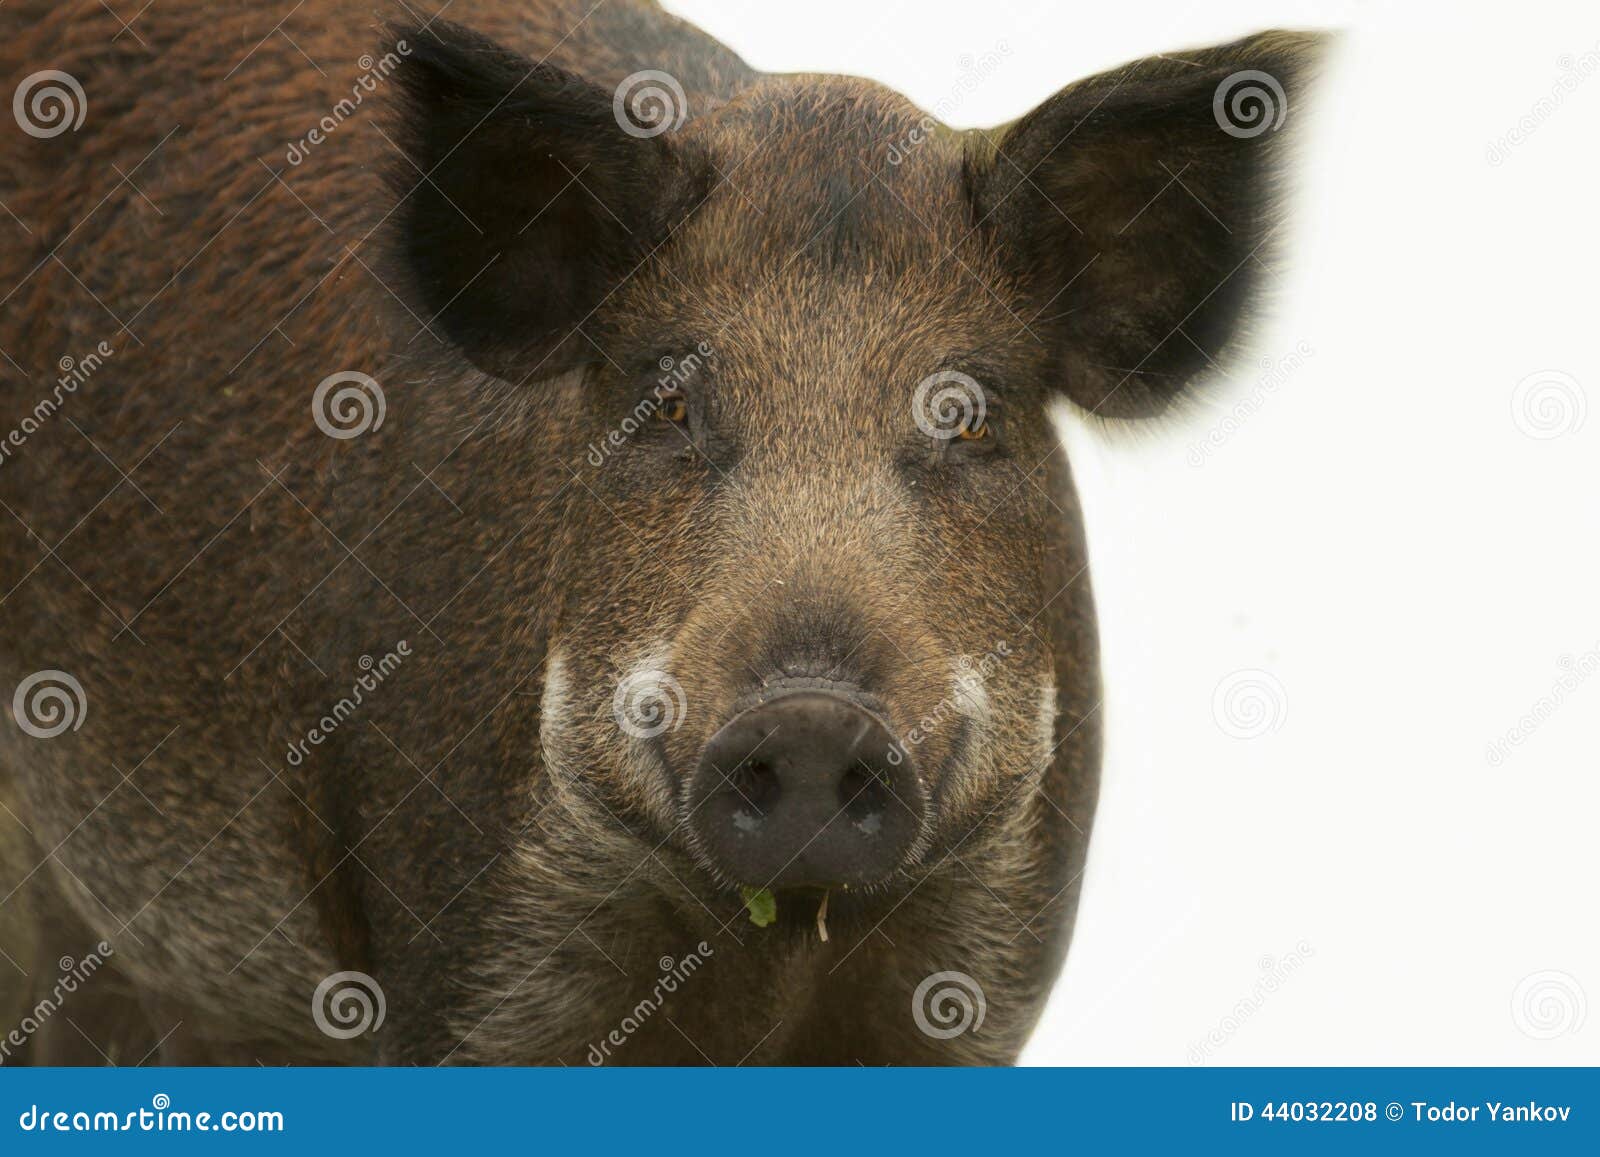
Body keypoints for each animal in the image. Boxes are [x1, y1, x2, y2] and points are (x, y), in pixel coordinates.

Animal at [0, 0, 1325, 1064]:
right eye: (670, 406)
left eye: (965, 414)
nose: (810, 716)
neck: (773, 951)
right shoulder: (462, 962)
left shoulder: (980, 968)